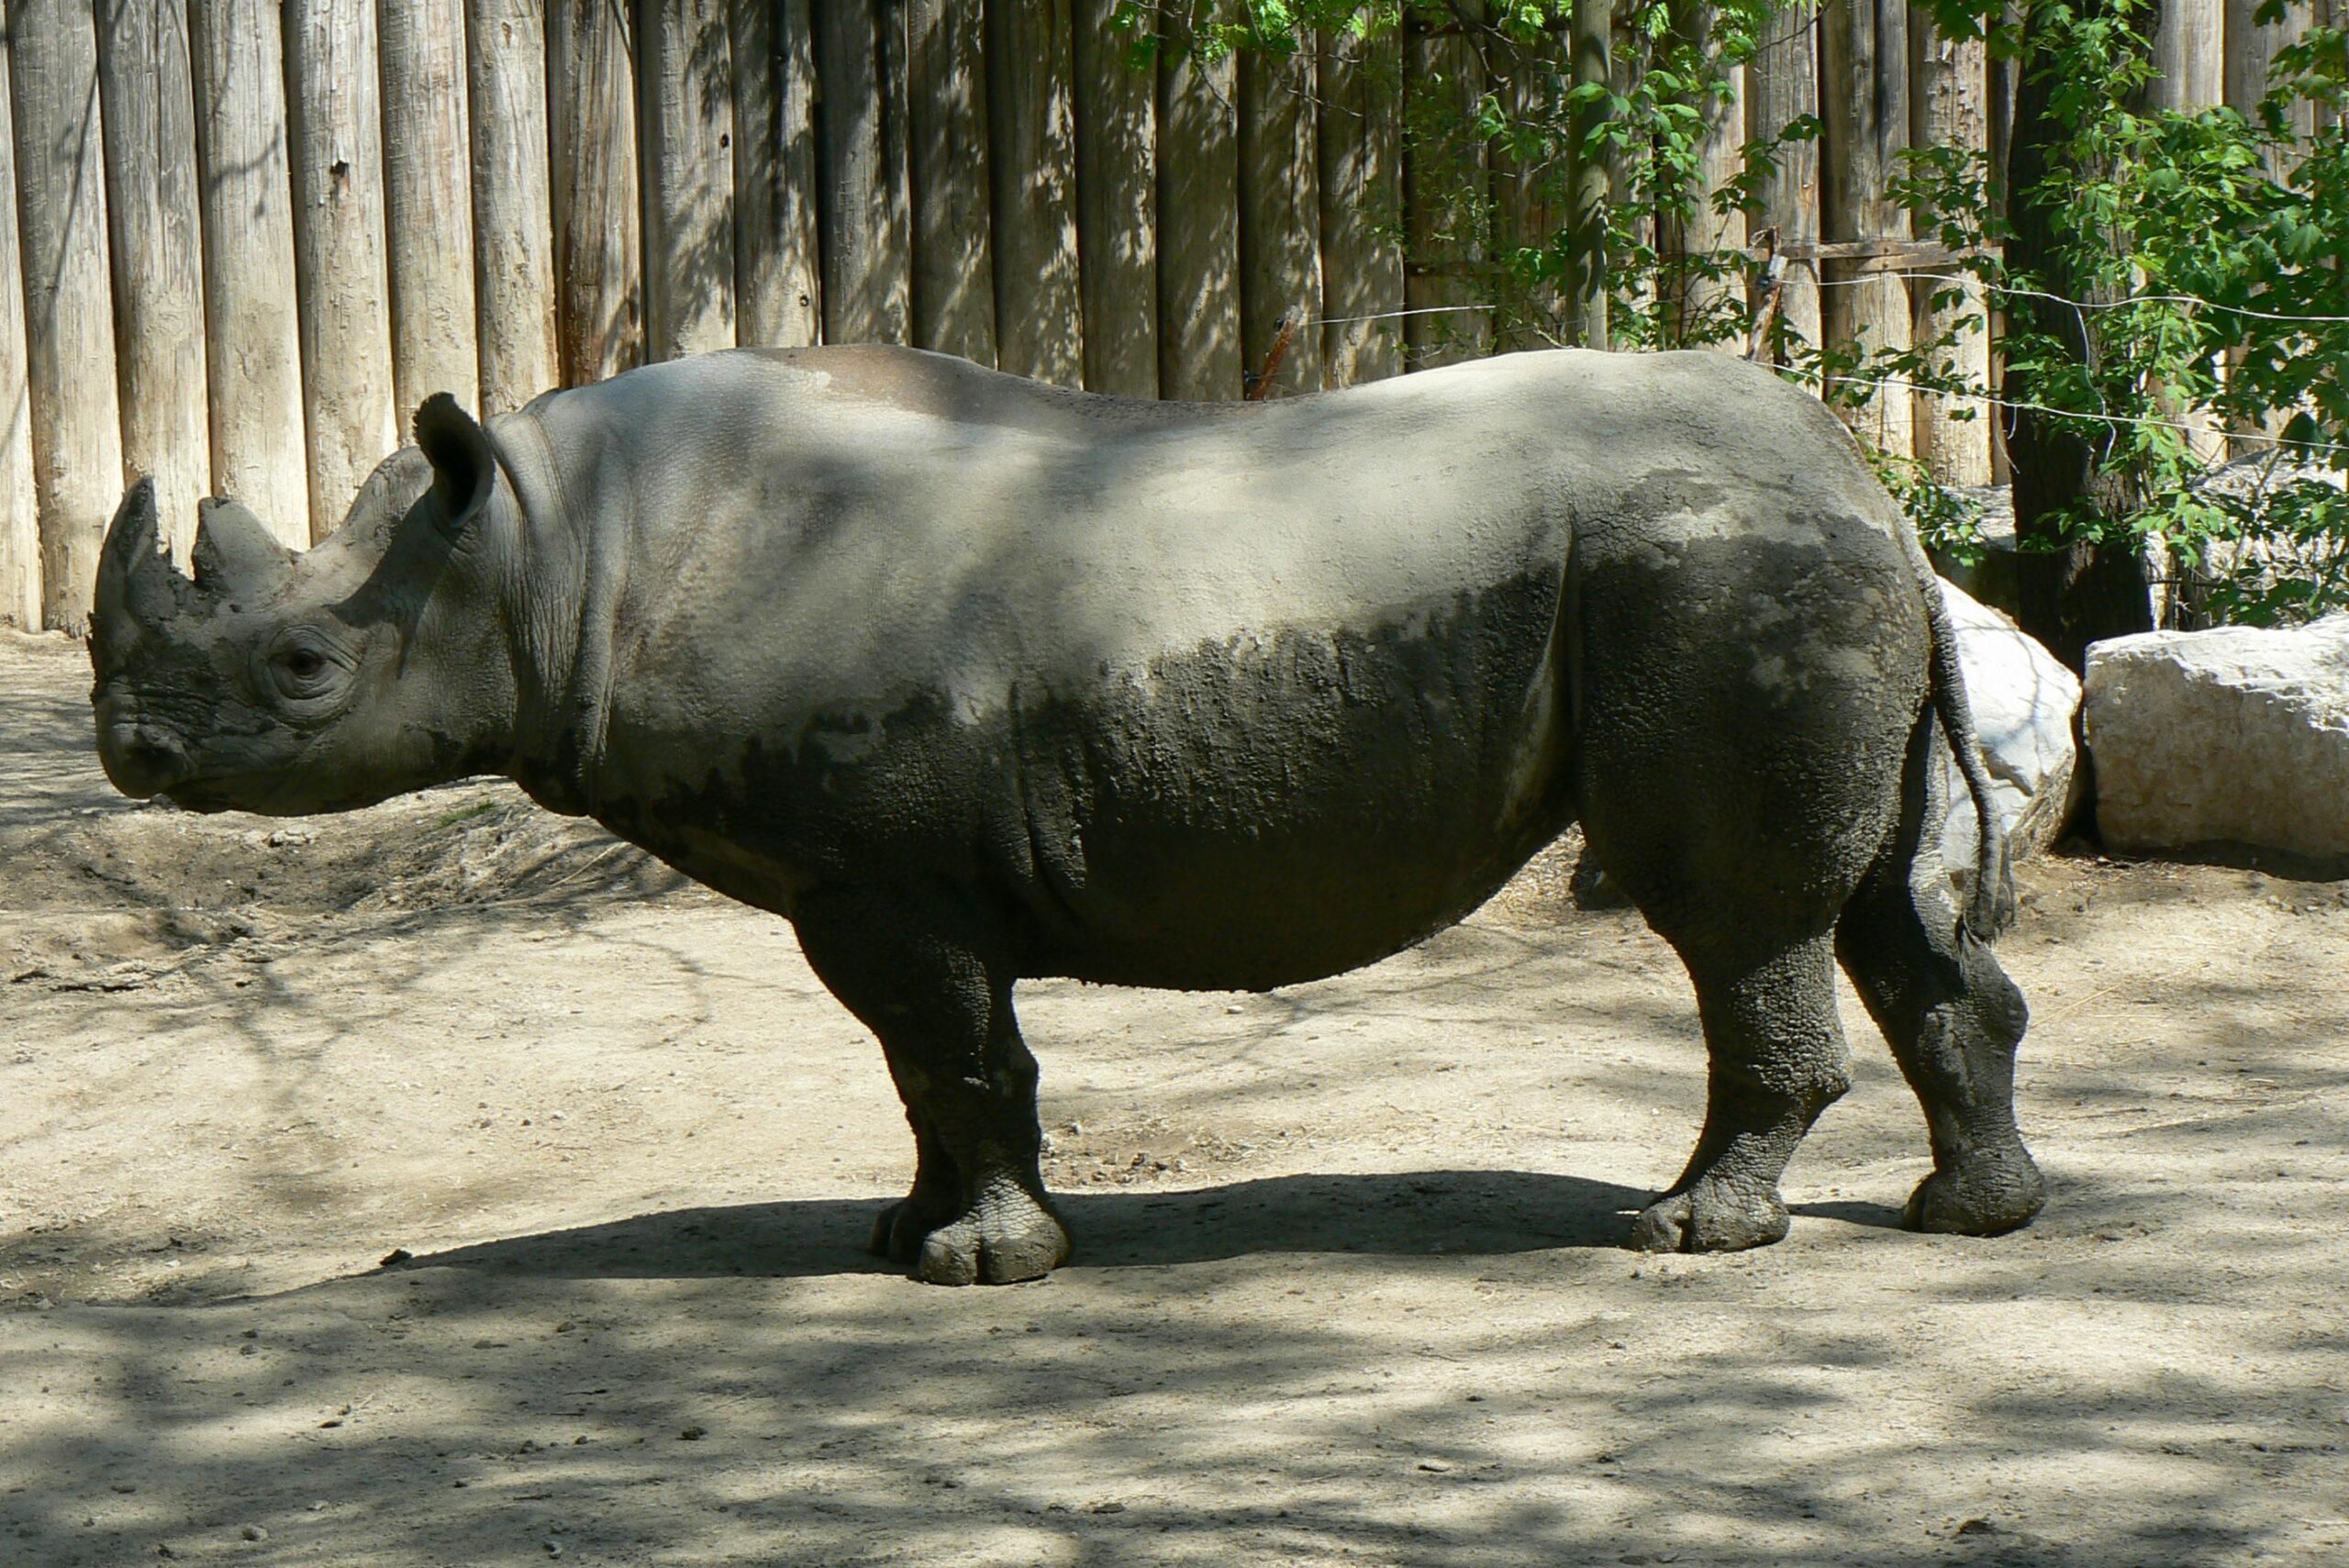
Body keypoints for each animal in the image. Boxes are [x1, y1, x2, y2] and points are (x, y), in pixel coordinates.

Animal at [89, 345, 2046, 1284]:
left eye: (300, 671)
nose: (130, 751)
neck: (560, 553)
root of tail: (1871, 484)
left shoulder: (883, 869)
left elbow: (956, 1054)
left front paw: (979, 1264)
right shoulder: (871, 872)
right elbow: (924, 1072)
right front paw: (900, 1237)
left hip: (1714, 571)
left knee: (1738, 917)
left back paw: (1689, 1230)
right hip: (1775, 568)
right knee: (1882, 911)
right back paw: (1973, 1215)